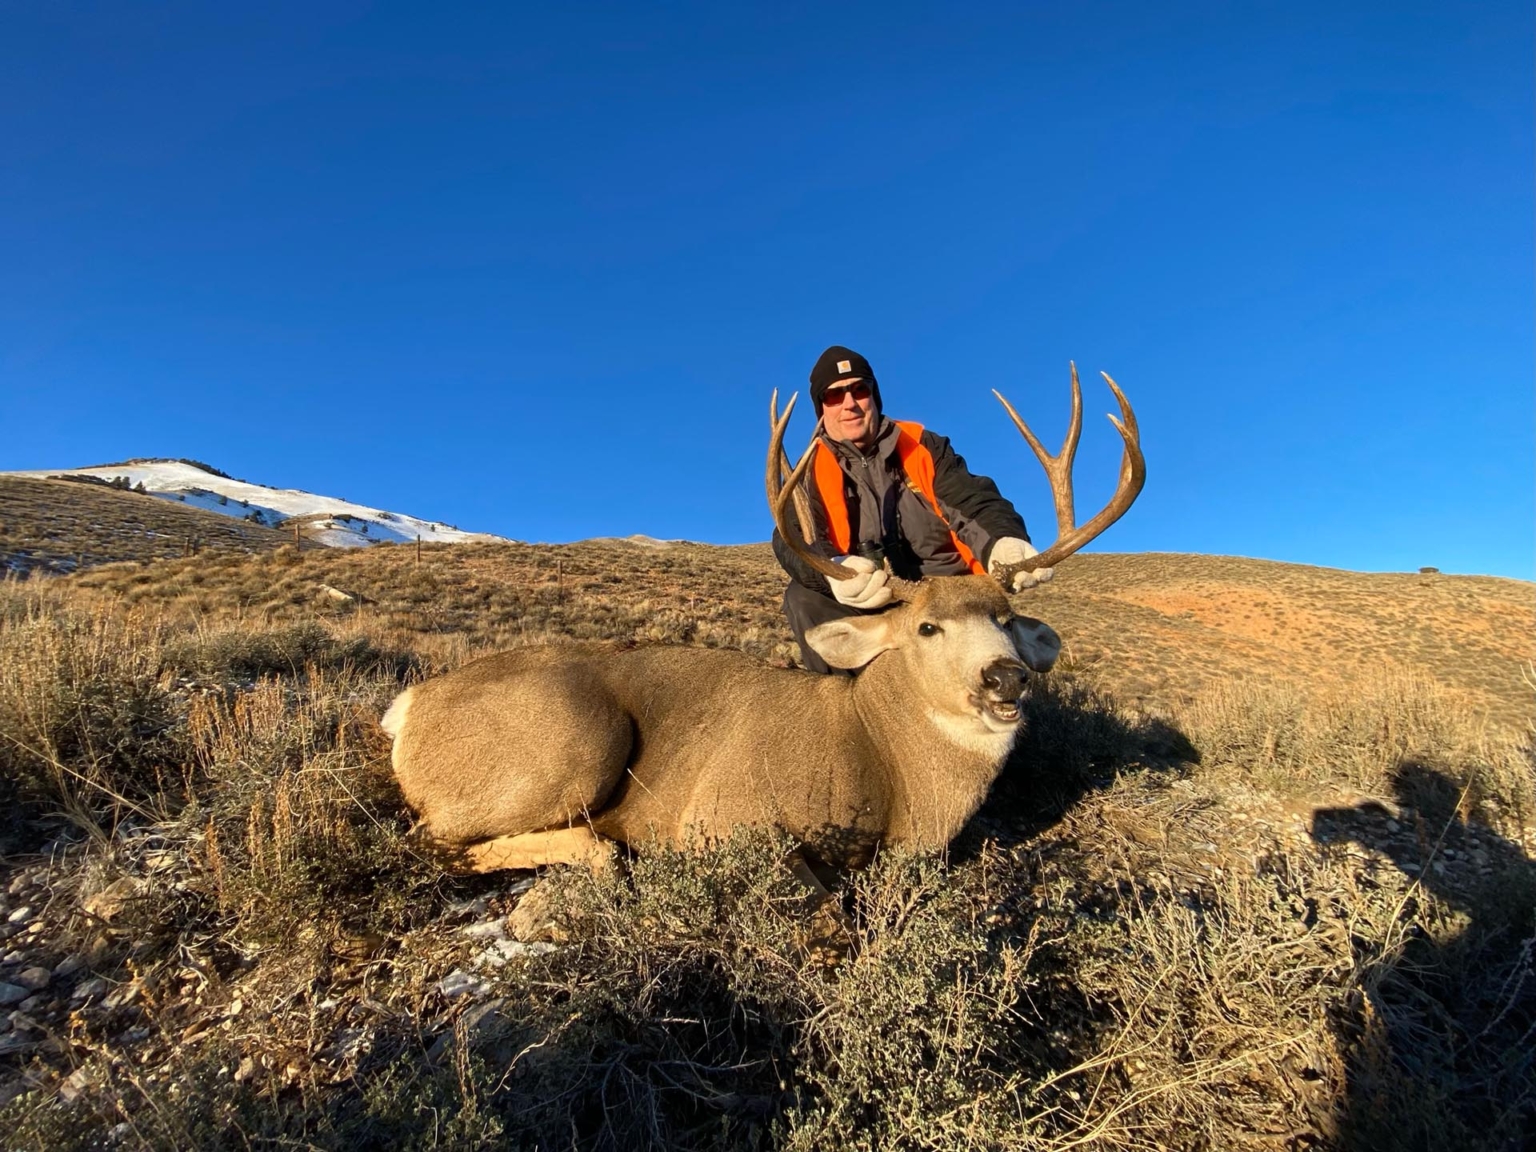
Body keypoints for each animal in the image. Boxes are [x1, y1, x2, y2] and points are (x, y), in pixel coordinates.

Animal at [381, 365, 1145, 880]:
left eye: (1007, 619)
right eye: (927, 629)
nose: (1005, 677)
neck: (886, 760)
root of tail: (407, 706)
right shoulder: (723, 815)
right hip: (570, 742)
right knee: (437, 839)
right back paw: (608, 848)